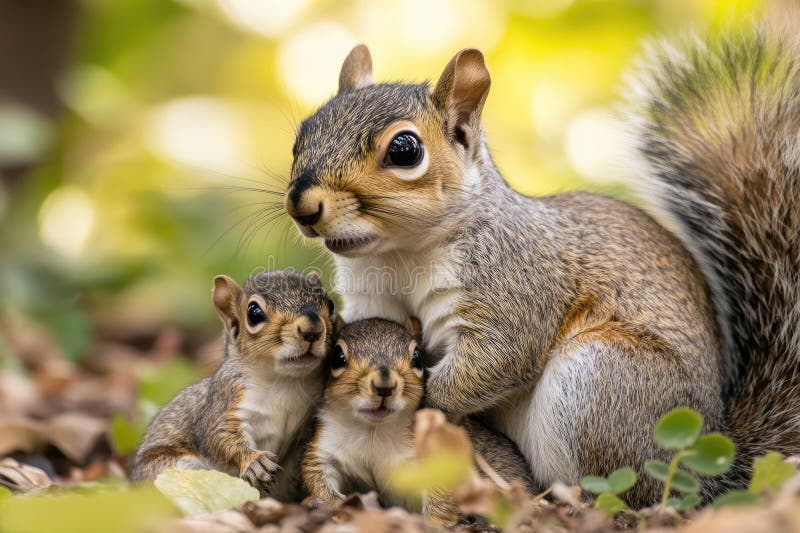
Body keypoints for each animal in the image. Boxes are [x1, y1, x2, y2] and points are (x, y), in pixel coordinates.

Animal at [130, 270, 339, 500]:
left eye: (330, 305)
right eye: (254, 313)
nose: (313, 329)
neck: (285, 382)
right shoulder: (227, 395)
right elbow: (219, 434)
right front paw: (254, 461)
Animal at [301, 317, 536, 524]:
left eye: (417, 357)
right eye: (337, 356)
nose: (384, 385)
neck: (374, 430)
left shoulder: (437, 455)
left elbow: (441, 497)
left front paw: (433, 522)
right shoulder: (327, 446)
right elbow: (316, 475)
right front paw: (327, 503)